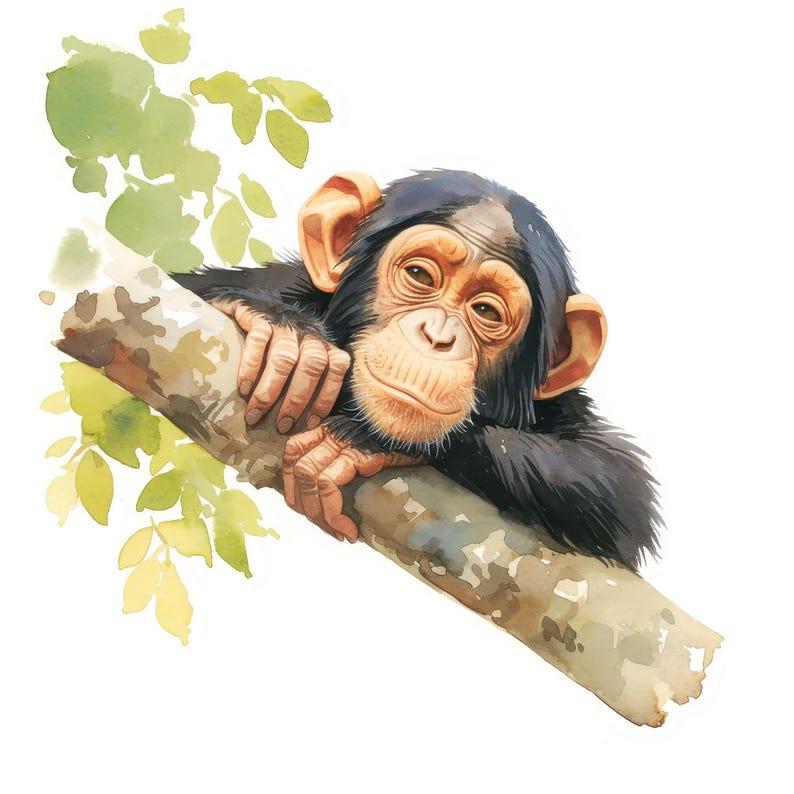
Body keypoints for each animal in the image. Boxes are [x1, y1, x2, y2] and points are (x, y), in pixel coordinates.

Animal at [174, 170, 661, 571]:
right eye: (421, 276)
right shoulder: (281, 280)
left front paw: (362, 439)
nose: (437, 336)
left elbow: (615, 483)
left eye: (486, 311)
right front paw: (283, 329)